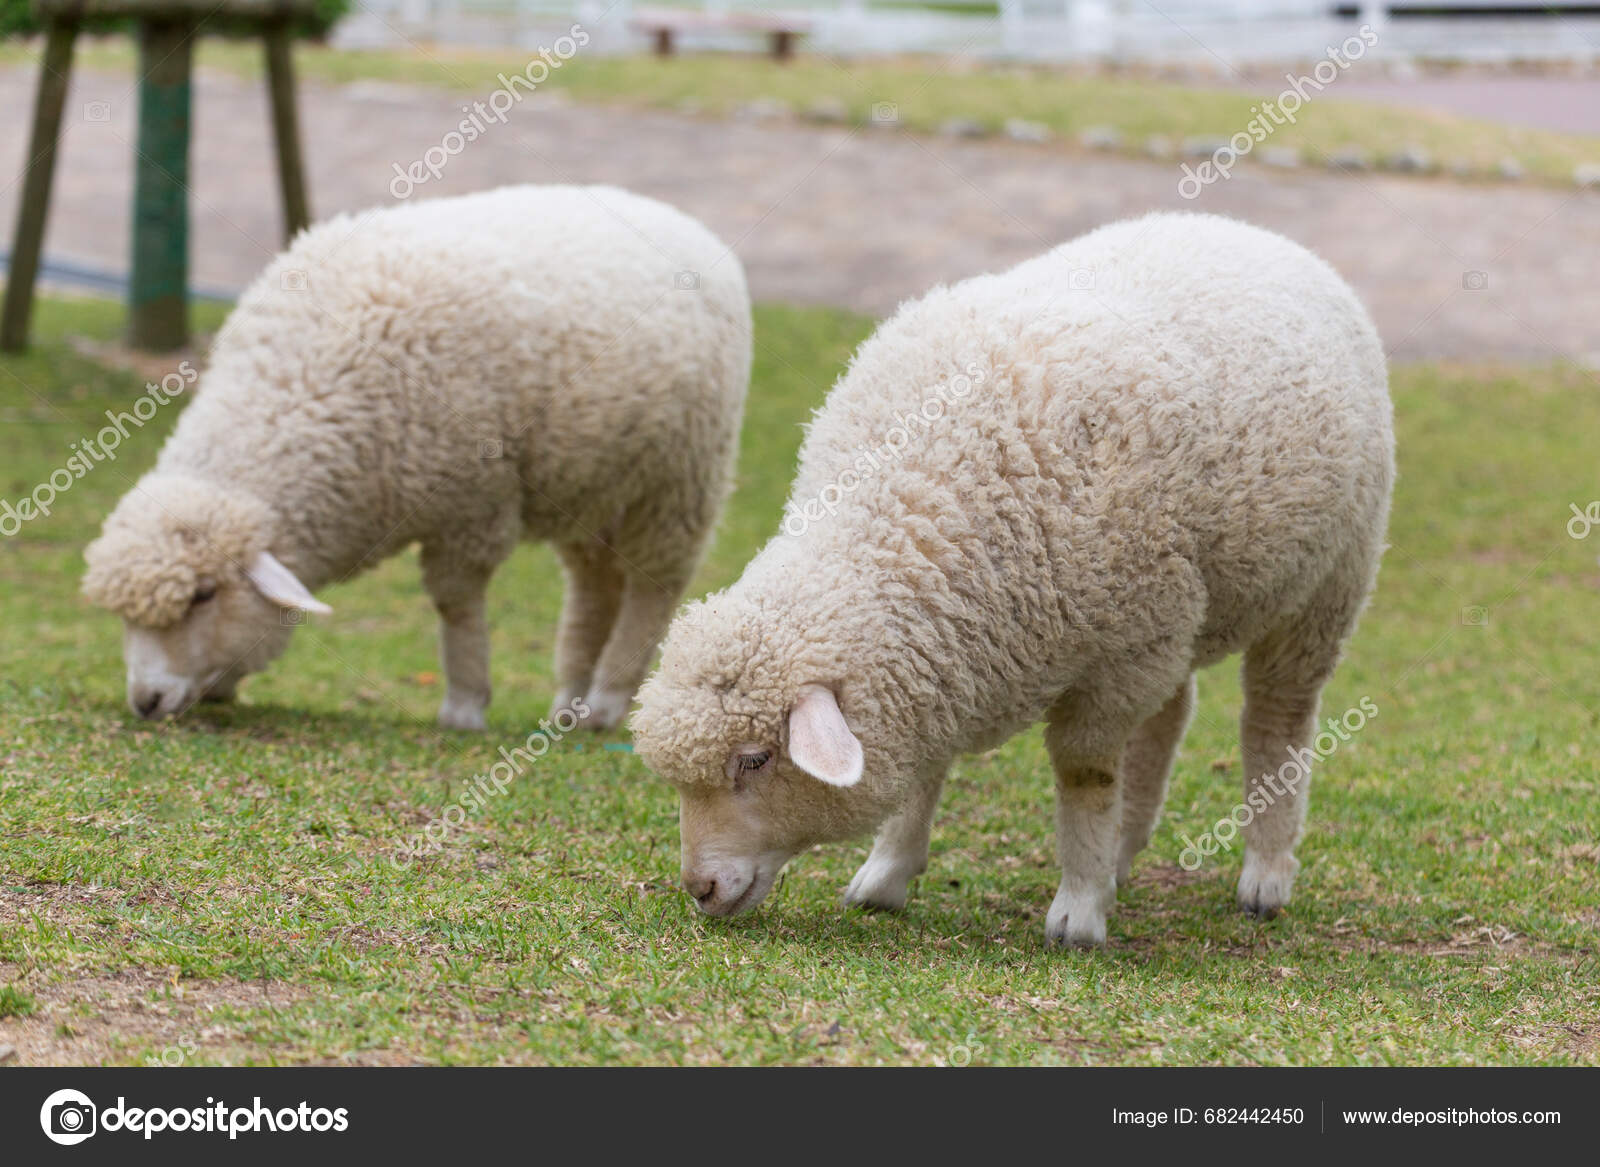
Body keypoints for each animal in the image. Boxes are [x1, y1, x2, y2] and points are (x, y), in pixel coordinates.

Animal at [83, 184, 752, 731]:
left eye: (202, 596)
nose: (145, 702)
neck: (309, 389)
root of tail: (678, 215)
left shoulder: (473, 502)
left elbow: (455, 605)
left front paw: (465, 705)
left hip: (679, 477)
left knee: (654, 586)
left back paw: (609, 703)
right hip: (595, 481)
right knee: (595, 586)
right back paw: (570, 701)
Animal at [631, 212, 1393, 946]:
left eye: (755, 760)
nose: (700, 888)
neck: (921, 502)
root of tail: (1252, 231)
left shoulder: (1116, 658)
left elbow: (1085, 775)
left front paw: (1078, 913)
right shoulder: (965, 655)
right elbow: (927, 769)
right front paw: (888, 872)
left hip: (1325, 582)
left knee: (1277, 719)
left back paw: (1265, 875)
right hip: (1182, 607)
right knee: (1170, 718)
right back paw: (1123, 854)